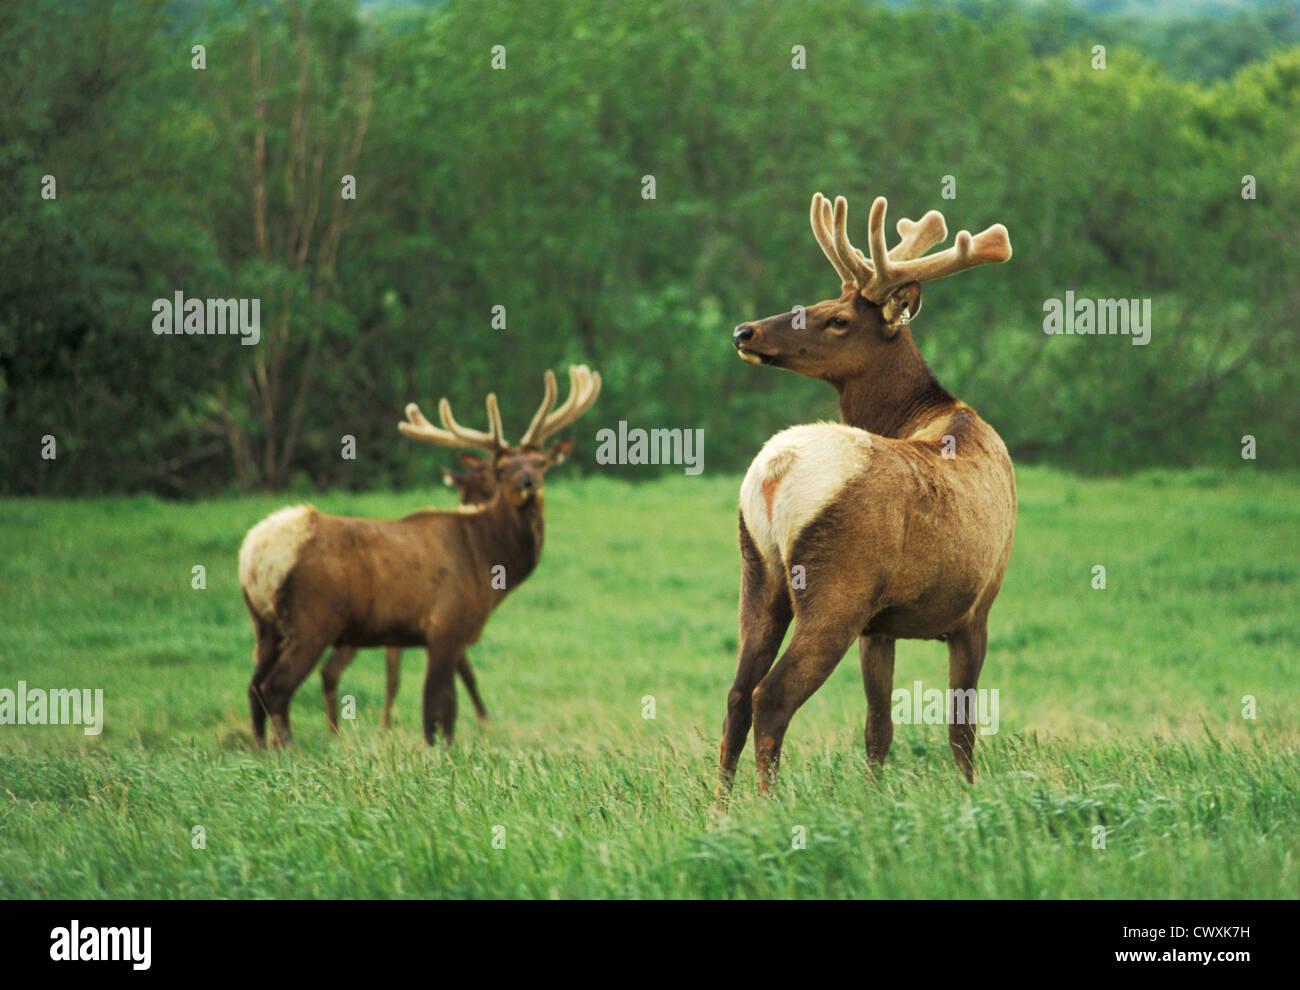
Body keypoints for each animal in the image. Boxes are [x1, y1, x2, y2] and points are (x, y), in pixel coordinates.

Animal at [719, 192, 1015, 794]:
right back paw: (765, 803)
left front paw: (876, 798)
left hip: (758, 570)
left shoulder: (879, 627)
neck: (934, 412)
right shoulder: (977, 607)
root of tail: (775, 471)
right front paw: (968, 794)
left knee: (736, 694)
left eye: (835, 316)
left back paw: (719, 805)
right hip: (838, 585)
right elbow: (962, 729)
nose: (744, 332)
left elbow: (878, 726)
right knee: (771, 696)